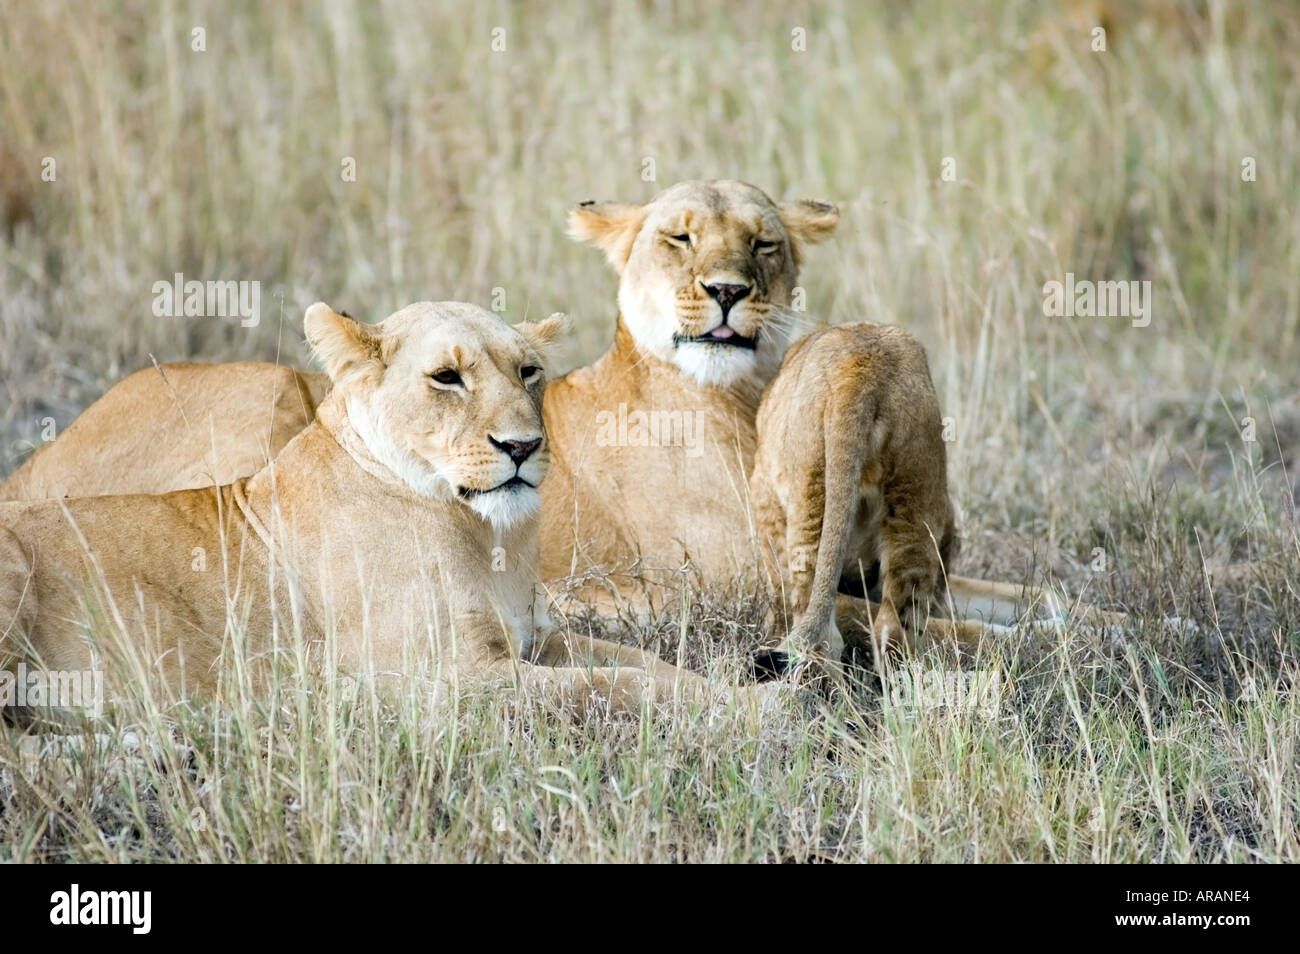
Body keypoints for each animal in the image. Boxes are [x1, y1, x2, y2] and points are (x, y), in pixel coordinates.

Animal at [0, 302, 763, 717]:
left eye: (528, 372)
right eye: (447, 377)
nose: (522, 446)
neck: (484, 536)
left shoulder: (534, 638)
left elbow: (651, 667)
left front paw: (749, 691)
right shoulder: (441, 682)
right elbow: (615, 688)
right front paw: (758, 712)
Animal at [751, 323, 957, 663]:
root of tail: (866, 371)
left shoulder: (764, 495)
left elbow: (776, 584)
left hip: (814, 488)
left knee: (820, 621)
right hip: (914, 495)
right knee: (895, 624)